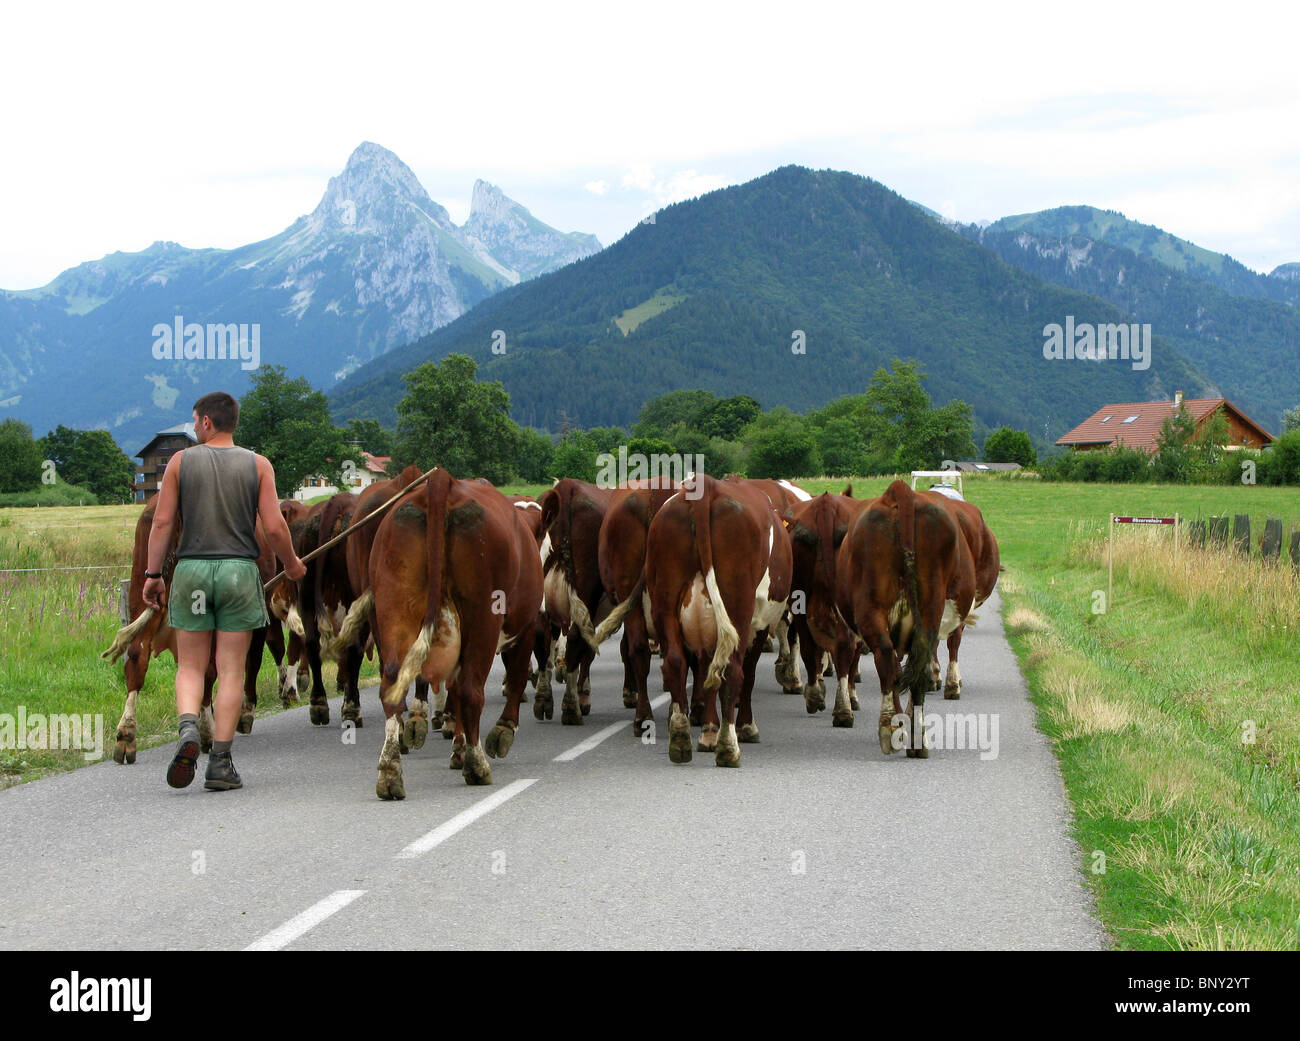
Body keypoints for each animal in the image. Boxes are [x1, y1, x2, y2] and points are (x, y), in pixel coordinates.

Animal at [369, 468, 543, 796]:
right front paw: (502, 730)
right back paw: (477, 766)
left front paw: (457, 746)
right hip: (483, 617)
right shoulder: (526, 626)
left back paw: (390, 772)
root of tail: (442, 482)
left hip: (394, 608)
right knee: (470, 690)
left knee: (392, 687)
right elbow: (516, 676)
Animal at [646, 474, 792, 767]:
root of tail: (707, 487)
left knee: (676, 663)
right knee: (734, 670)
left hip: (664, 601)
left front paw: (708, 731)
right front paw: (744, 727)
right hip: (737, 606)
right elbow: (746, 674)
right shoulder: (758, 625)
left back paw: (680, 741)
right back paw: (728, 747)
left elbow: (705, 673)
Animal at [835, 480, 971, 758]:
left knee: (886, 659)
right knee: (918, 666)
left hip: (871, 608)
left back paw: (889, 726)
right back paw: (917, 739)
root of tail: (900, 493)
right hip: (930, 608)